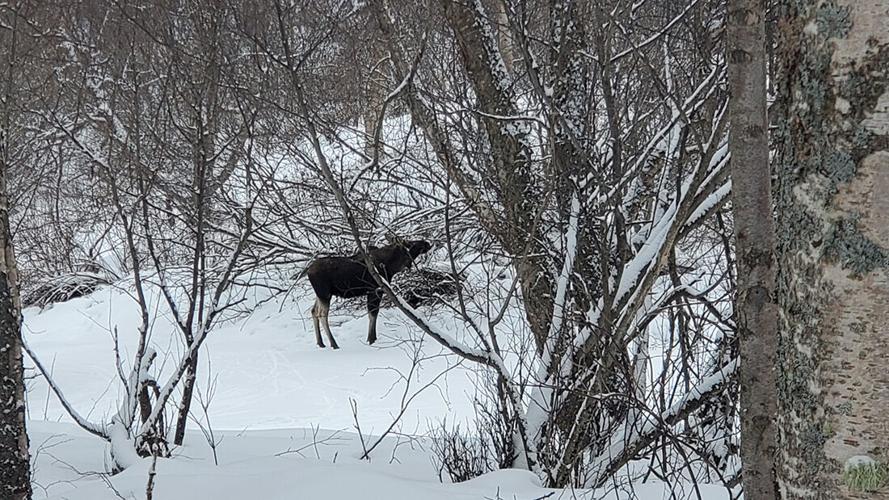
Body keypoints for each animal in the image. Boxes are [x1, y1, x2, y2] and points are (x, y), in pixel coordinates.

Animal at [303, 239, 432, 349]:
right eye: (410, 243)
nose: (427, 243)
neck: (391, 266)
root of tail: (308, 270)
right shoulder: (375, 290)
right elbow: (373, 313)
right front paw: (371, 339)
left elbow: (372, 313)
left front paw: (372, 338)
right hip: (325, 293)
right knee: (322, 314)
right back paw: (333, 344)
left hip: (321, 294)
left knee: (313, 311)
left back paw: (320, 343)